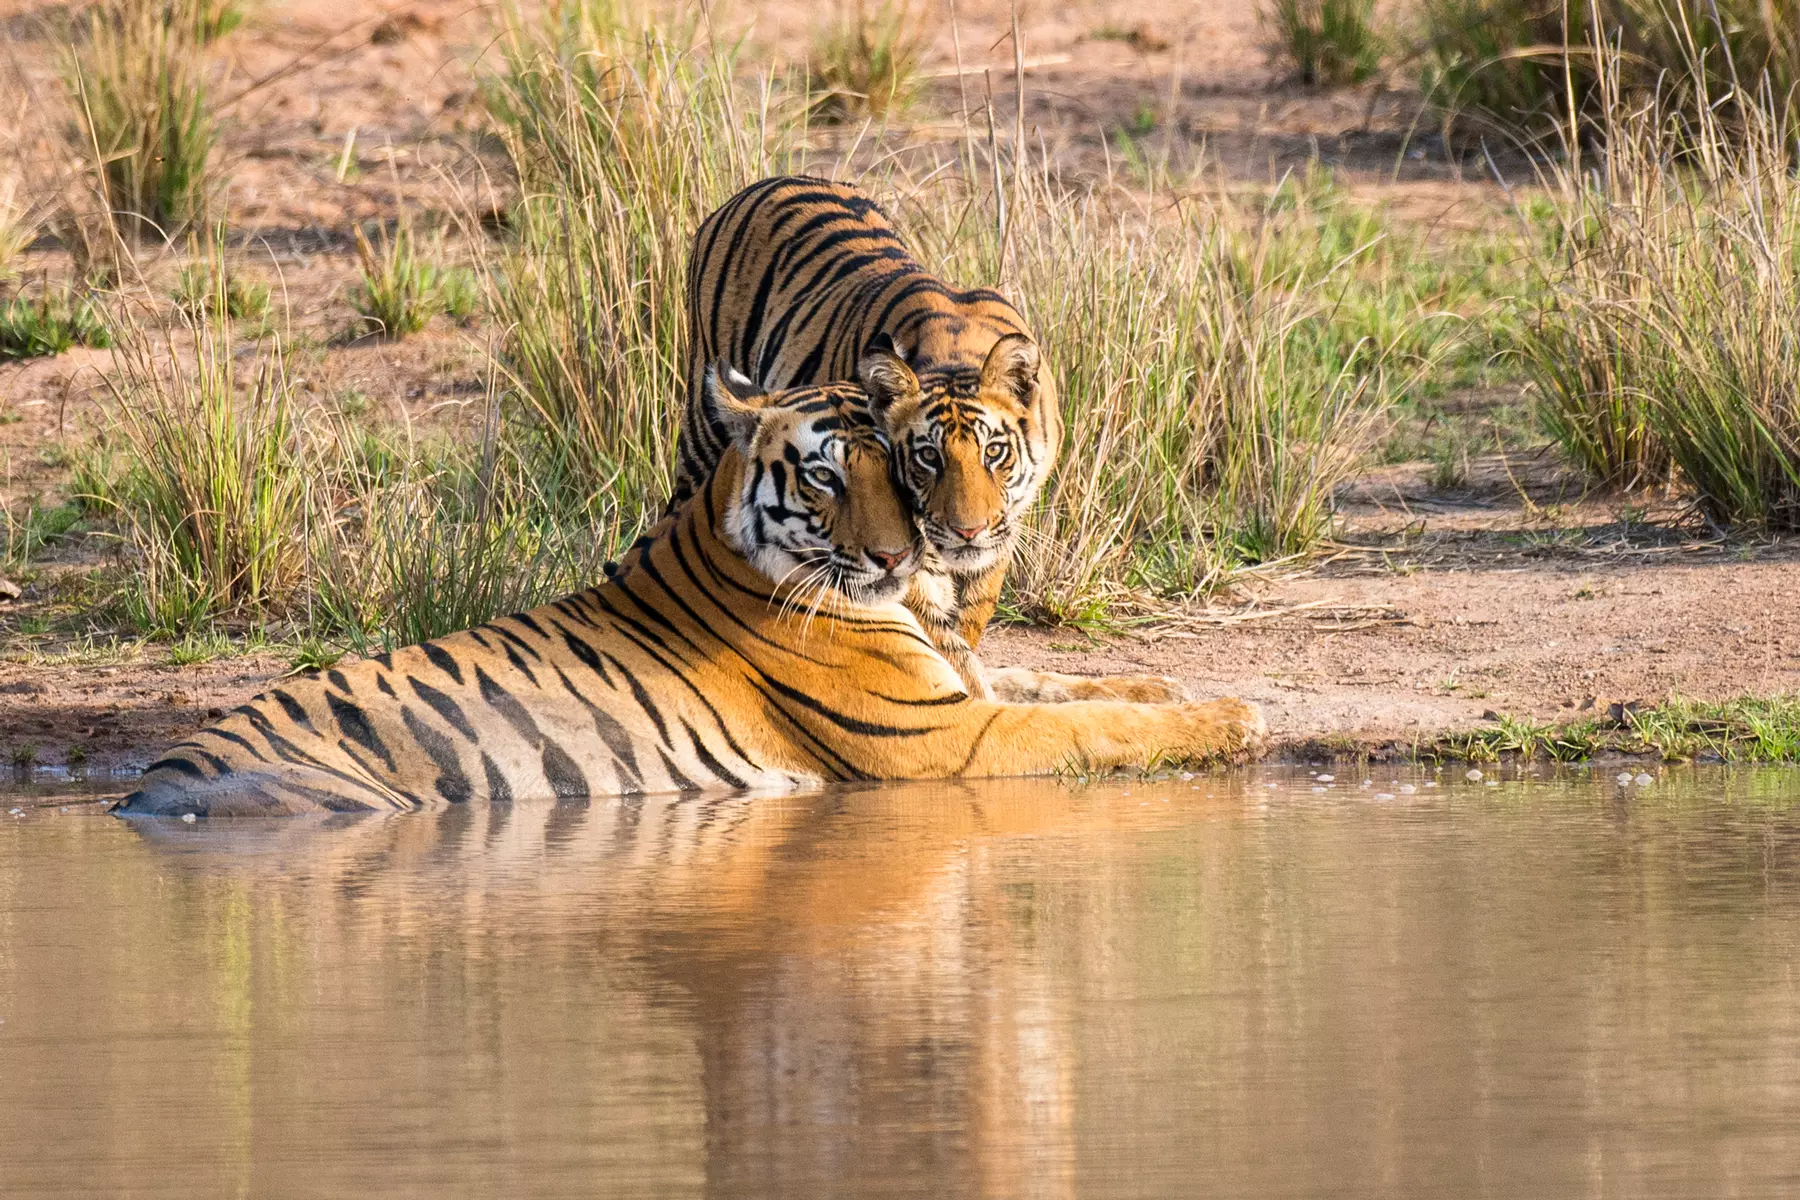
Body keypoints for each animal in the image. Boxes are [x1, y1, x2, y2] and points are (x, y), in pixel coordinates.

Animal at [116, 354, 1267, 816]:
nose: (901, 558)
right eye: (825, 476)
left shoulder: (960, 683)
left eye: (898, 466)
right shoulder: (942, 738)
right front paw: (1235, 718)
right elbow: (1089, 725)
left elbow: (1076, 684)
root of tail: (148, 785)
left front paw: (1186, 689)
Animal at [676, 176, 1180, 705]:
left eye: (993, 452)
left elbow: (971, 626)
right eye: (927, 457)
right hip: (703, 430)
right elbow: (945, 645)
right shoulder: (893, 539)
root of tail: (773, 181)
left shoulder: (1000, 534)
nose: (967, 531)